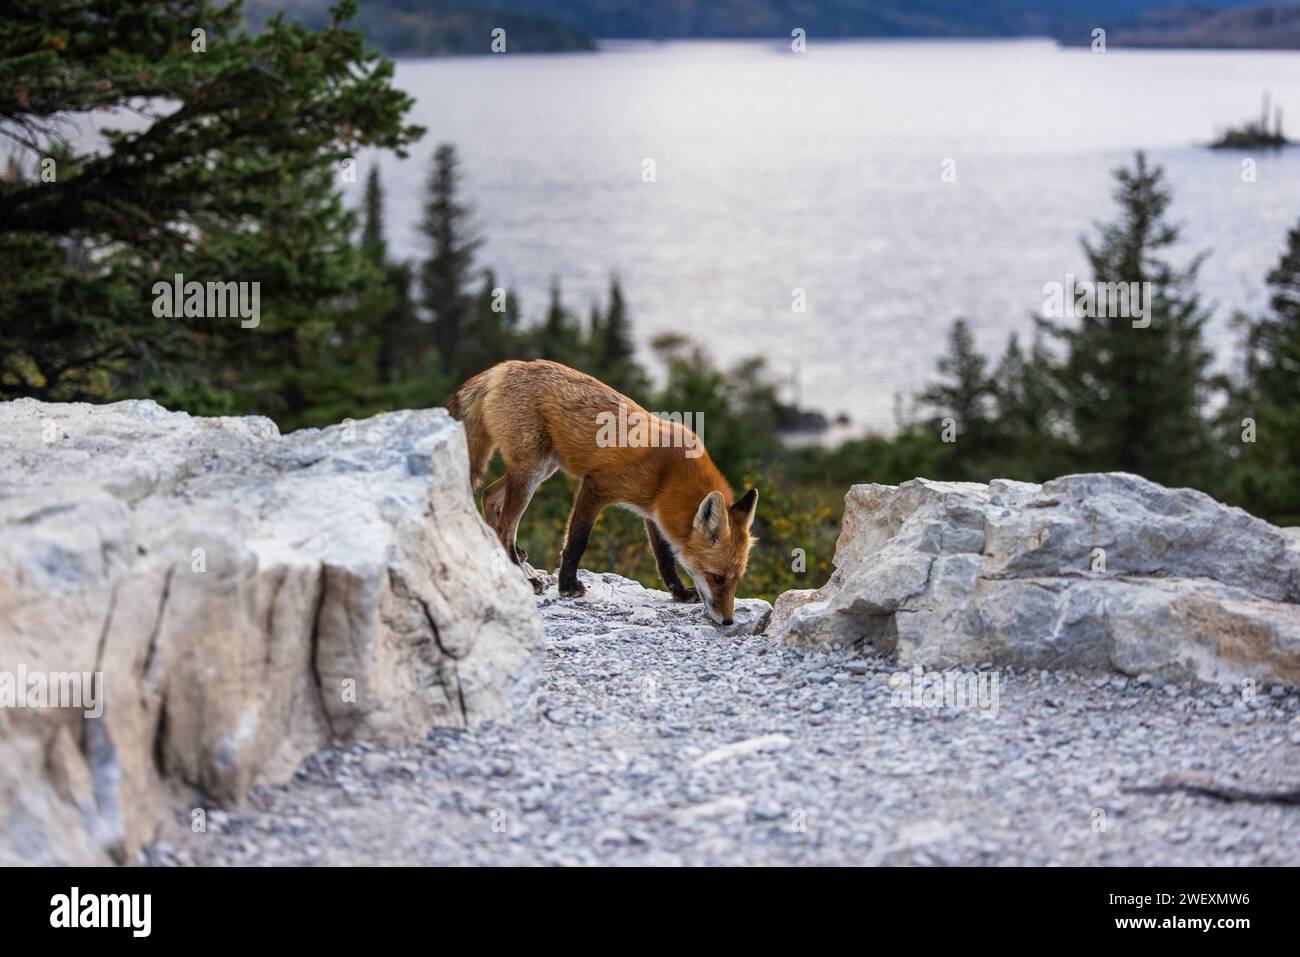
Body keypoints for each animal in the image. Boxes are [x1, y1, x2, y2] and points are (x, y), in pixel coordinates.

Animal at [447, 359, 758, 626]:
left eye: (735, 581)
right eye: (717, 578)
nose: (728, 621)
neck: (668, 474)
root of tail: (505, 366)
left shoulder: (654, 512)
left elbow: (664, 559)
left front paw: (679, 592)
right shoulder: (596, 486)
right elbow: (577, 541)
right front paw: (567, 585)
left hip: (541, 469)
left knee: (489, 497)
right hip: (531, 472)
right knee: (505, 526)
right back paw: (521, 572)